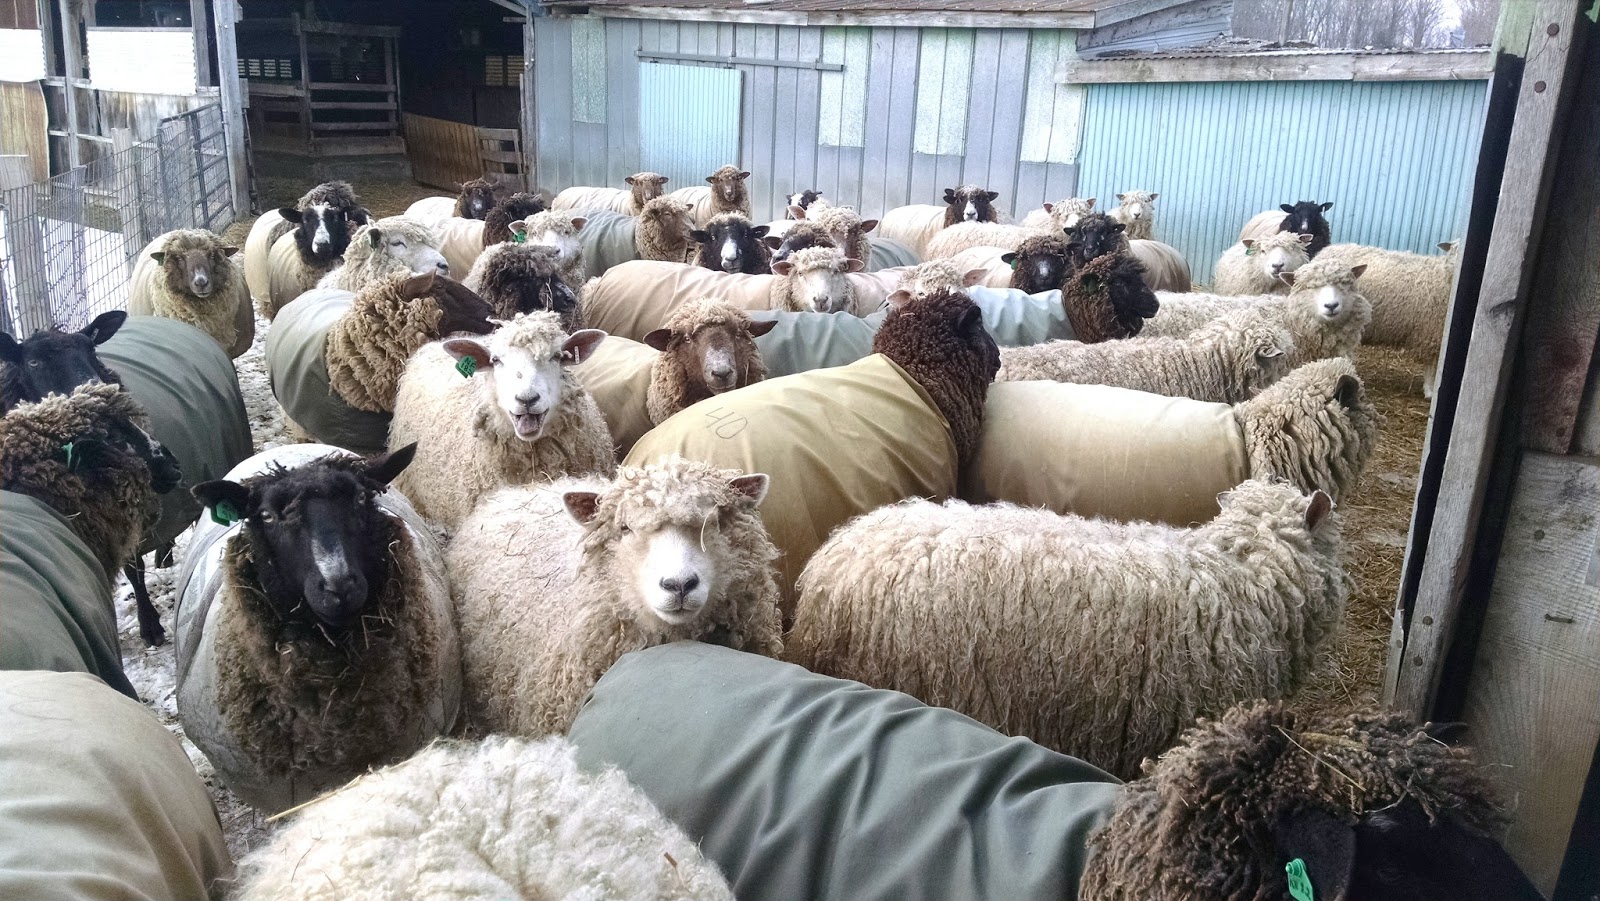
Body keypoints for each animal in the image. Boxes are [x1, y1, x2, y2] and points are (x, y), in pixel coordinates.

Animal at [1315, 240, 1460, 396]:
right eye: (1454, 251)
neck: (1444, 277)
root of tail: (1327, 250)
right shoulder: (1430, 332)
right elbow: (1431, 366)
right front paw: (1430, 391)